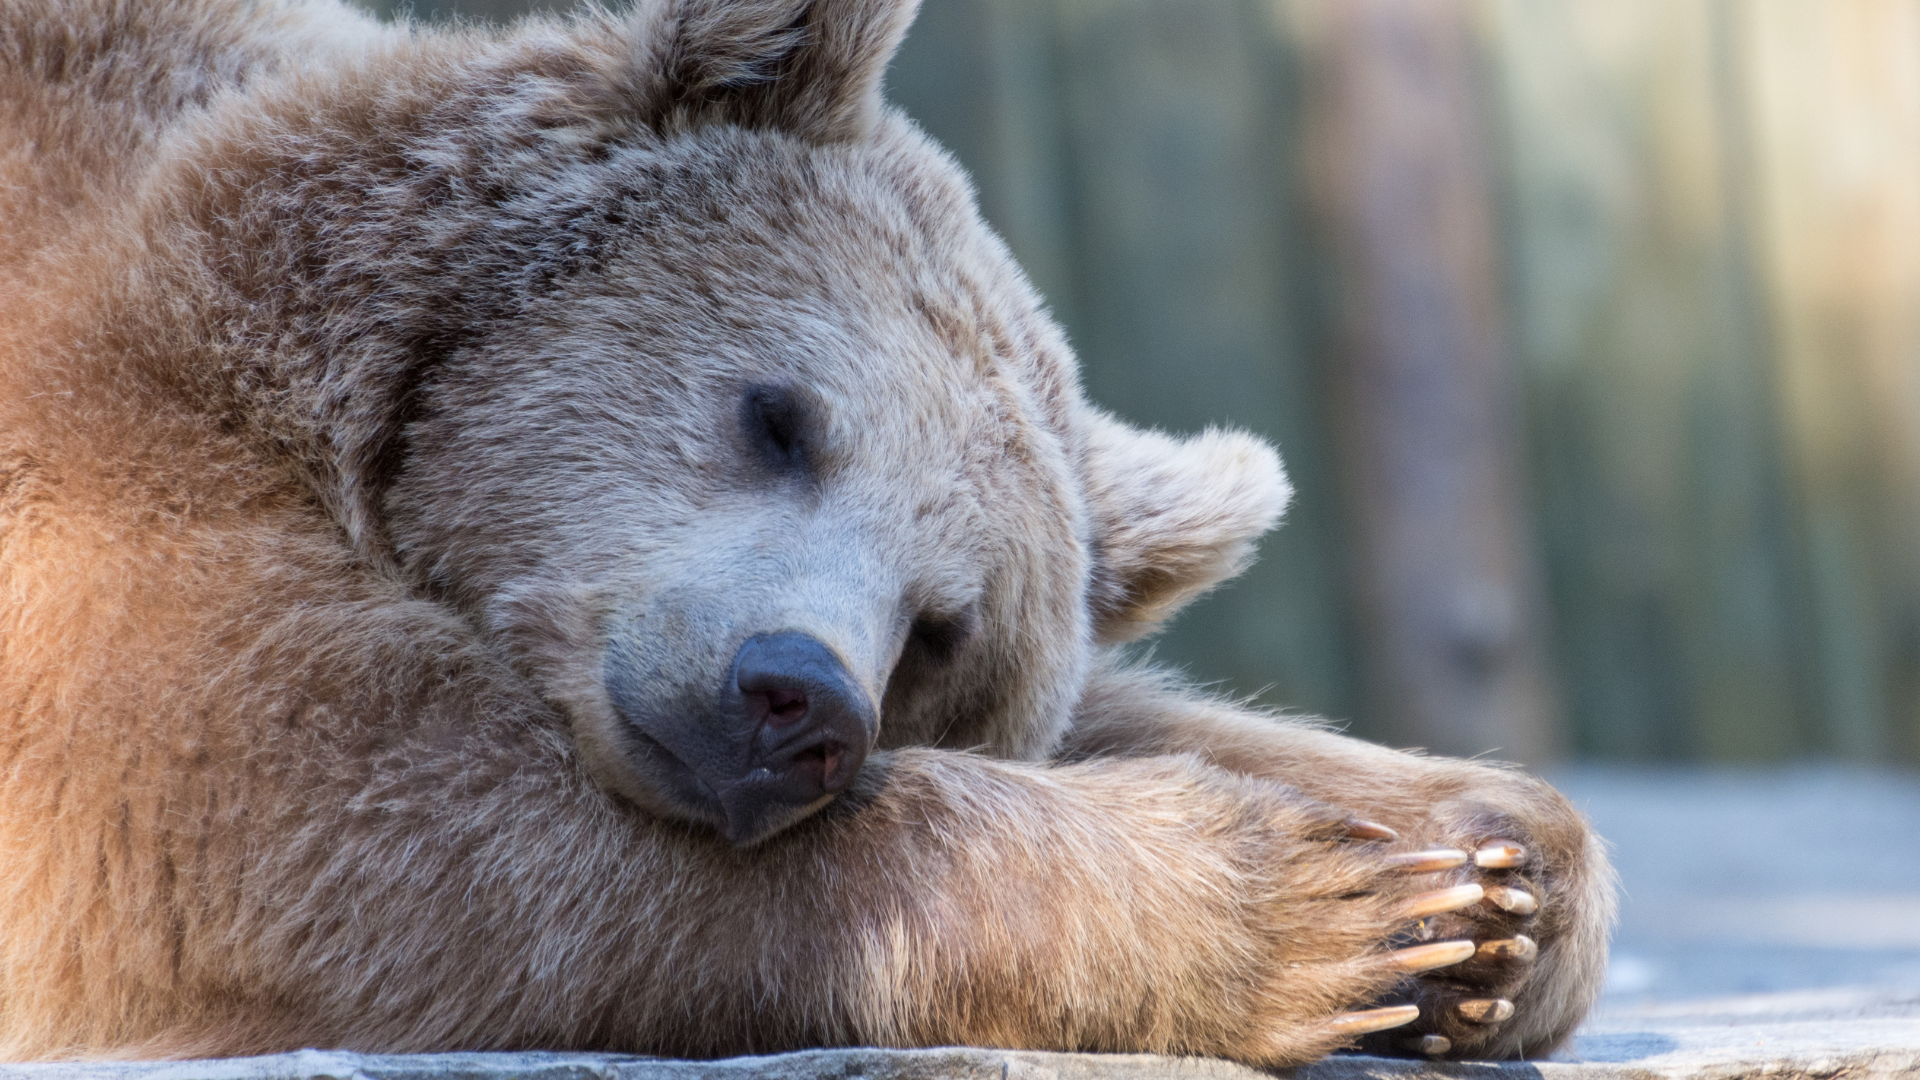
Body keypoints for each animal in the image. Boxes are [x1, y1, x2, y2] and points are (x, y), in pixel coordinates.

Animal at [0, 0, 1614, 1065]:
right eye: (778, 415)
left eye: (942, 630)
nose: (792, 698)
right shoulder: (101, 455)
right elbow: (286, 799)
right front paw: (1311, 901)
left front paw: (1486, 877)